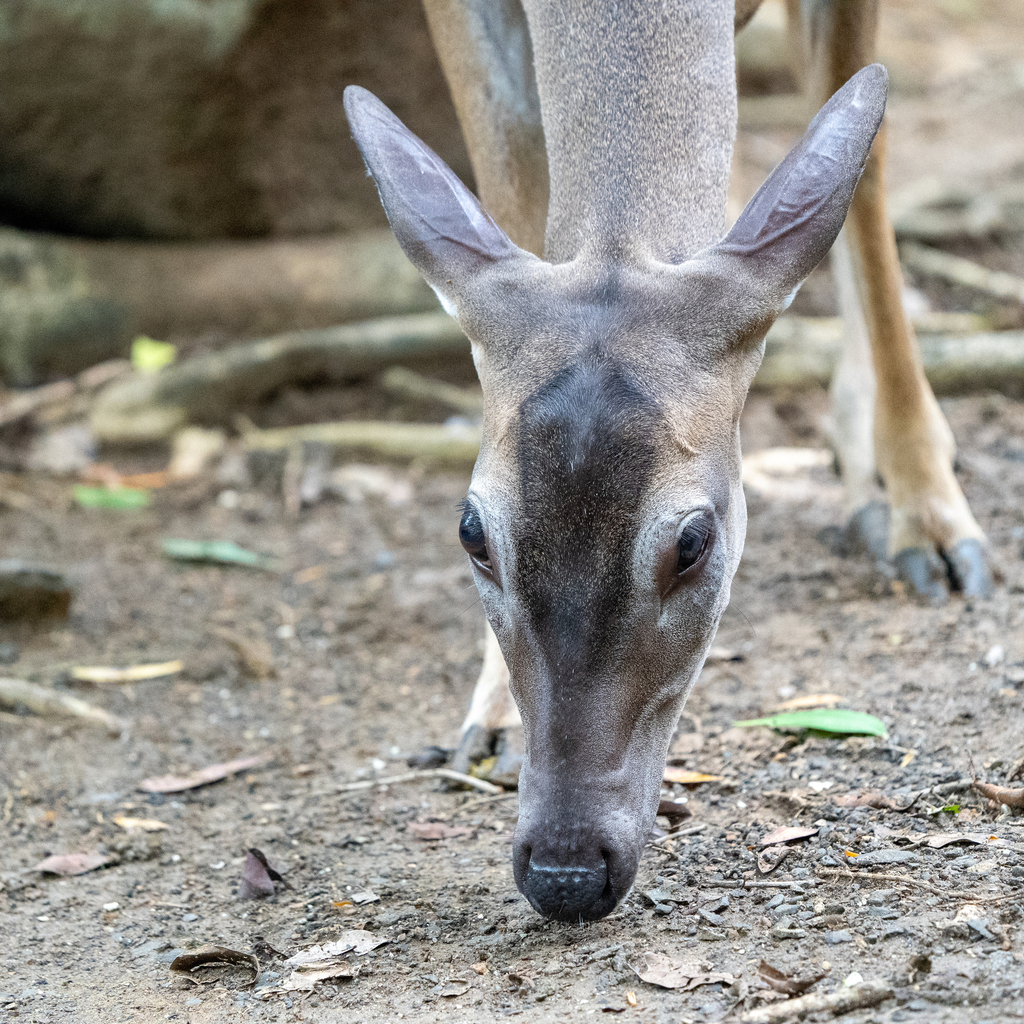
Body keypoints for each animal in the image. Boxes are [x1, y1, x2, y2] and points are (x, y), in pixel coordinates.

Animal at [343, 0, 991, 923]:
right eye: (471, 532)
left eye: (693, 542)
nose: (565, 871)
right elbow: (513, 184)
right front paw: (493, 718)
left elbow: (862, 167)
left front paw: (931, 520)